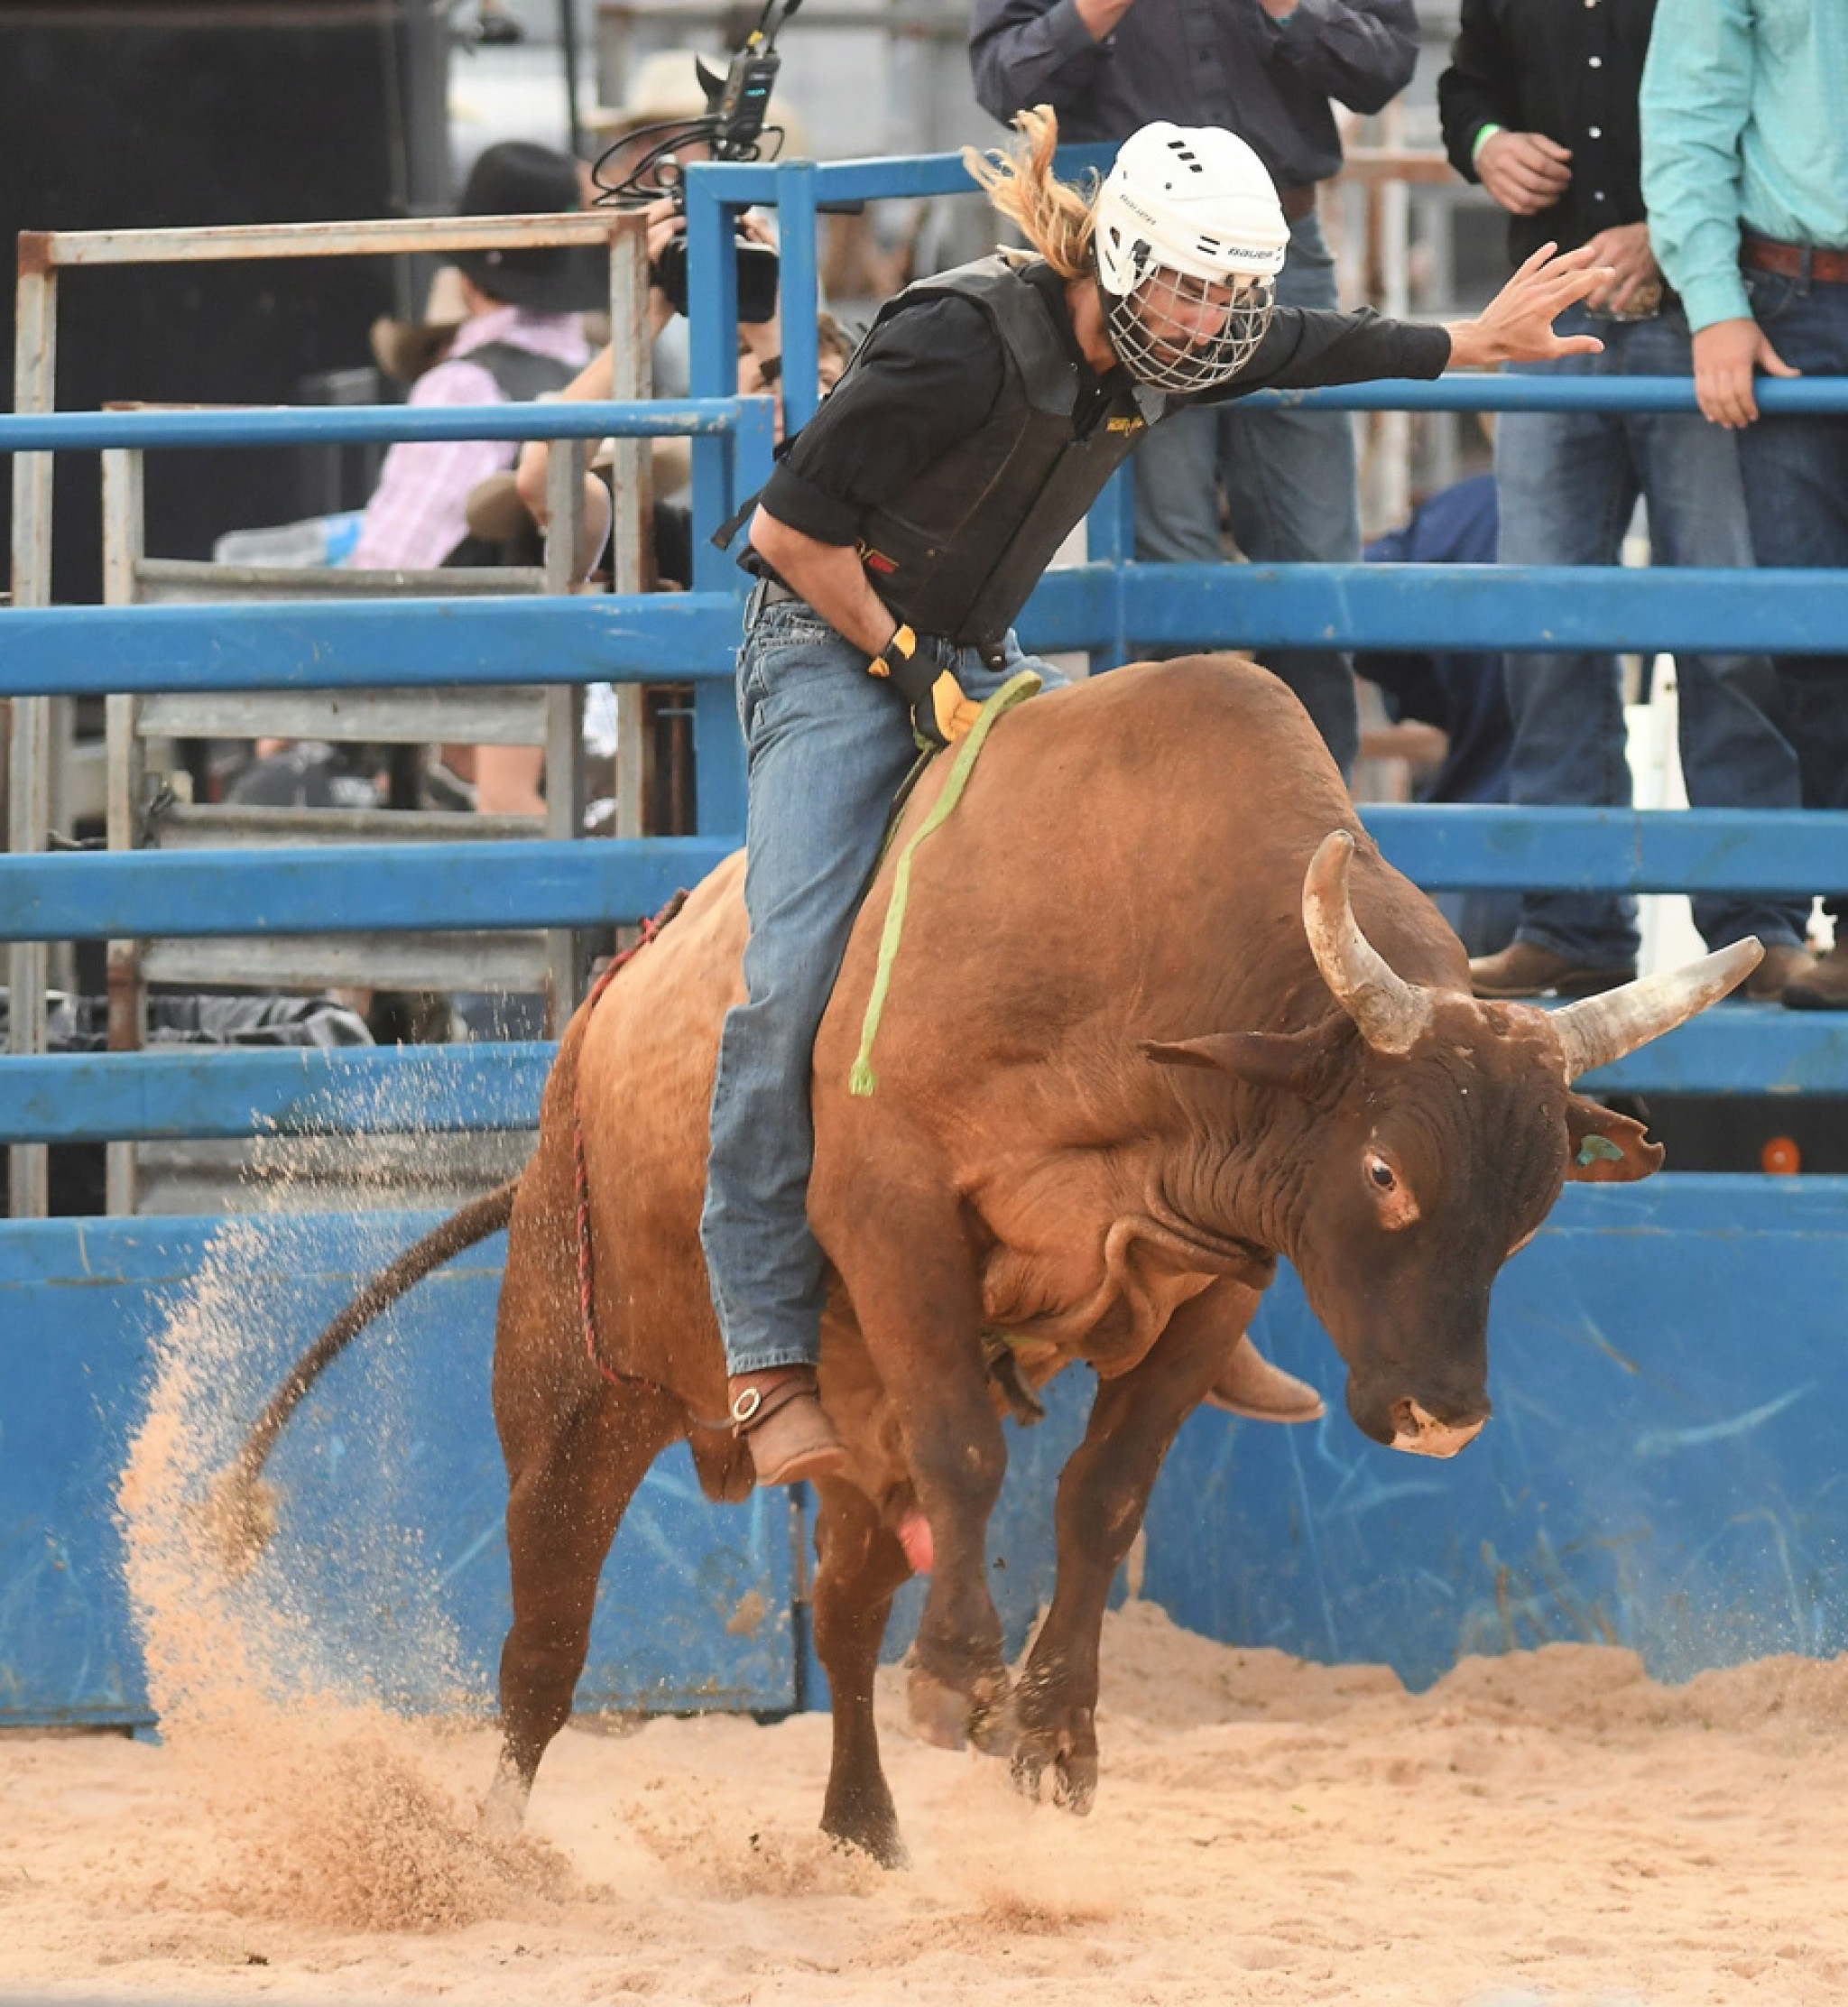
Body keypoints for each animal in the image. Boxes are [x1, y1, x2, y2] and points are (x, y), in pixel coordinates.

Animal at [213, 654, 1756, 1869]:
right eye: (1386, 1173)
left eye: (1536, 1203)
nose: (1444, 1418)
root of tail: (587, 1047)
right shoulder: (893, 1217)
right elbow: (973, 1450)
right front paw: (963, 1671)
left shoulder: (1220, 1277)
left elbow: (1102, 1496)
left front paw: (1054, 1729)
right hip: (573, 1387)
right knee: (545, 1643)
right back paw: (491, 1844)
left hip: (847, 1440)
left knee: (841, 1616)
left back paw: (862, 1825)